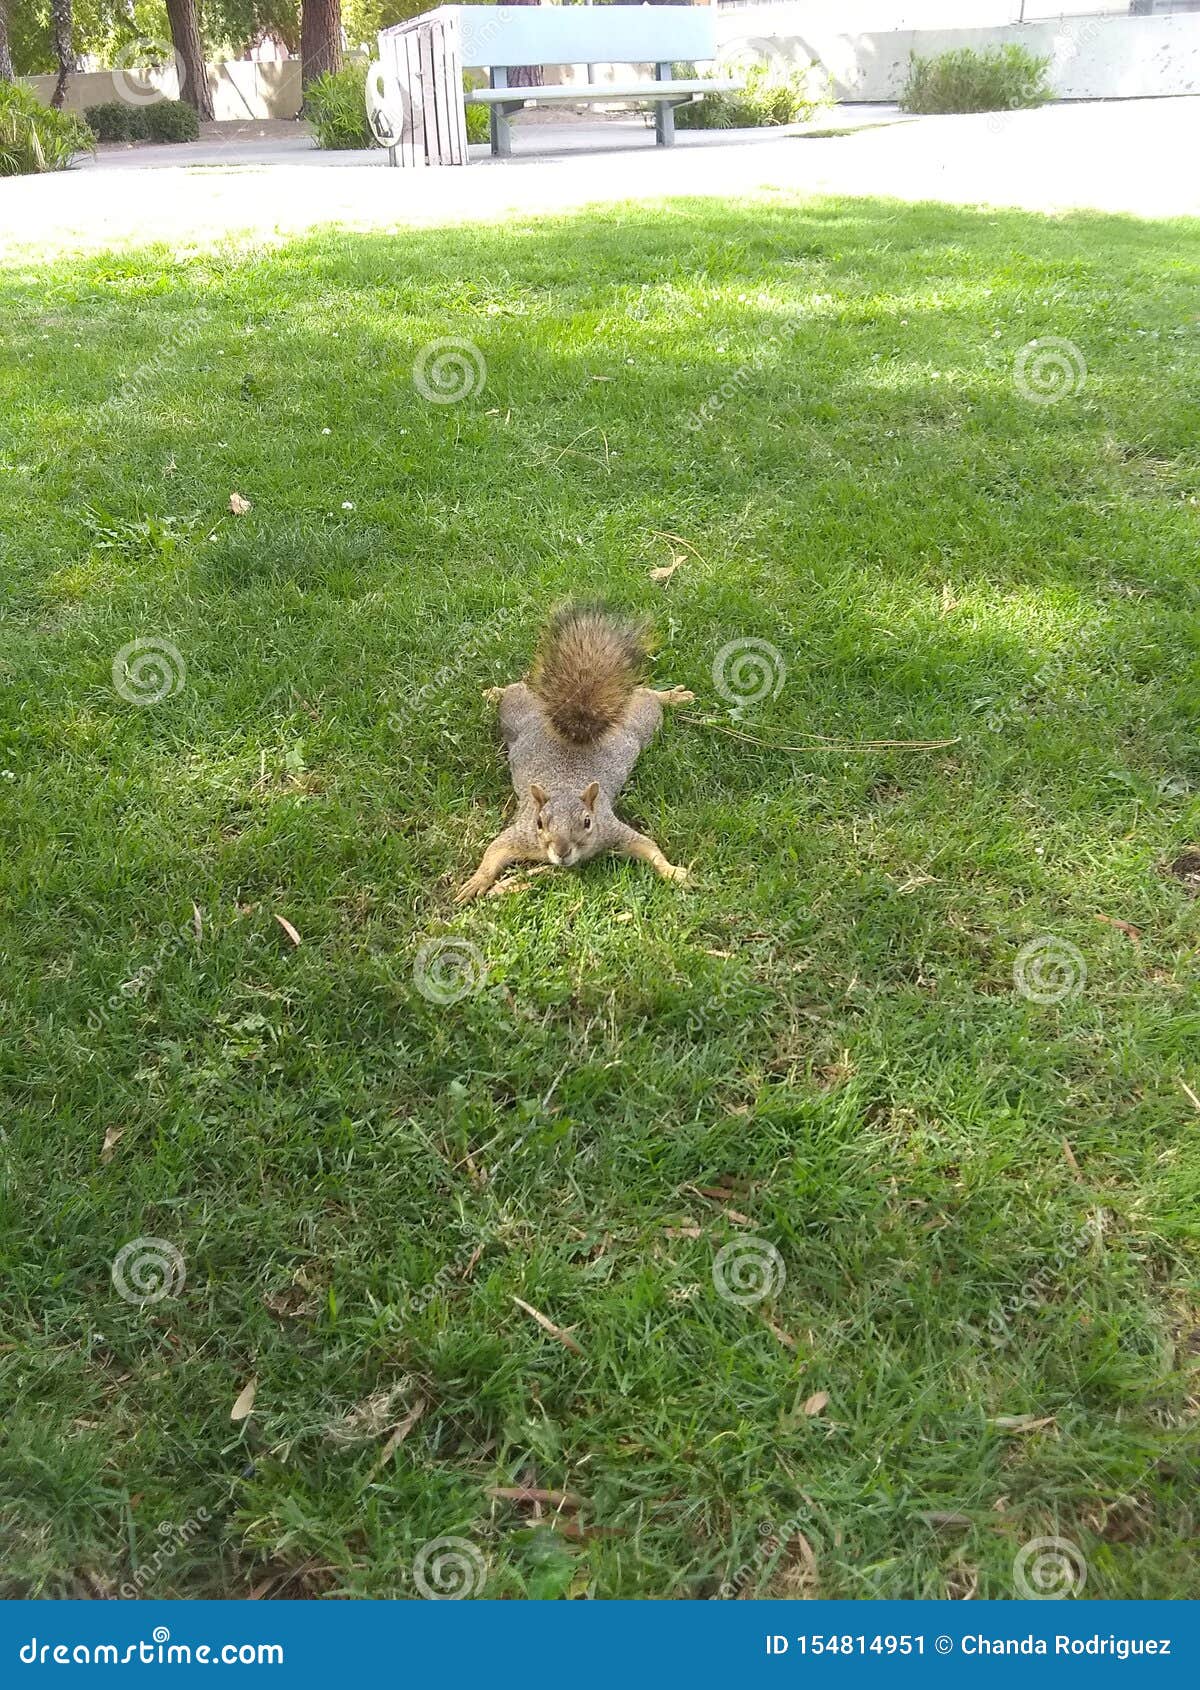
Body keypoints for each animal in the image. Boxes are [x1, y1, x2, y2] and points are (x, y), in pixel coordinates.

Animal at [455, 604, 694, 904]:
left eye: (587, 822)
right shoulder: (521, 835)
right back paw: (492, 692)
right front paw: (476, 882)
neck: (566, 787)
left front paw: (673, 871)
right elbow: (493, 851)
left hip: (643, 722)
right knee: (516, 688)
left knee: (644, 695)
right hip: (516, 714)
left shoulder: (611, 830)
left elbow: (648, 846)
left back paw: (672, 697)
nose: (562, 852)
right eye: (539, 822)